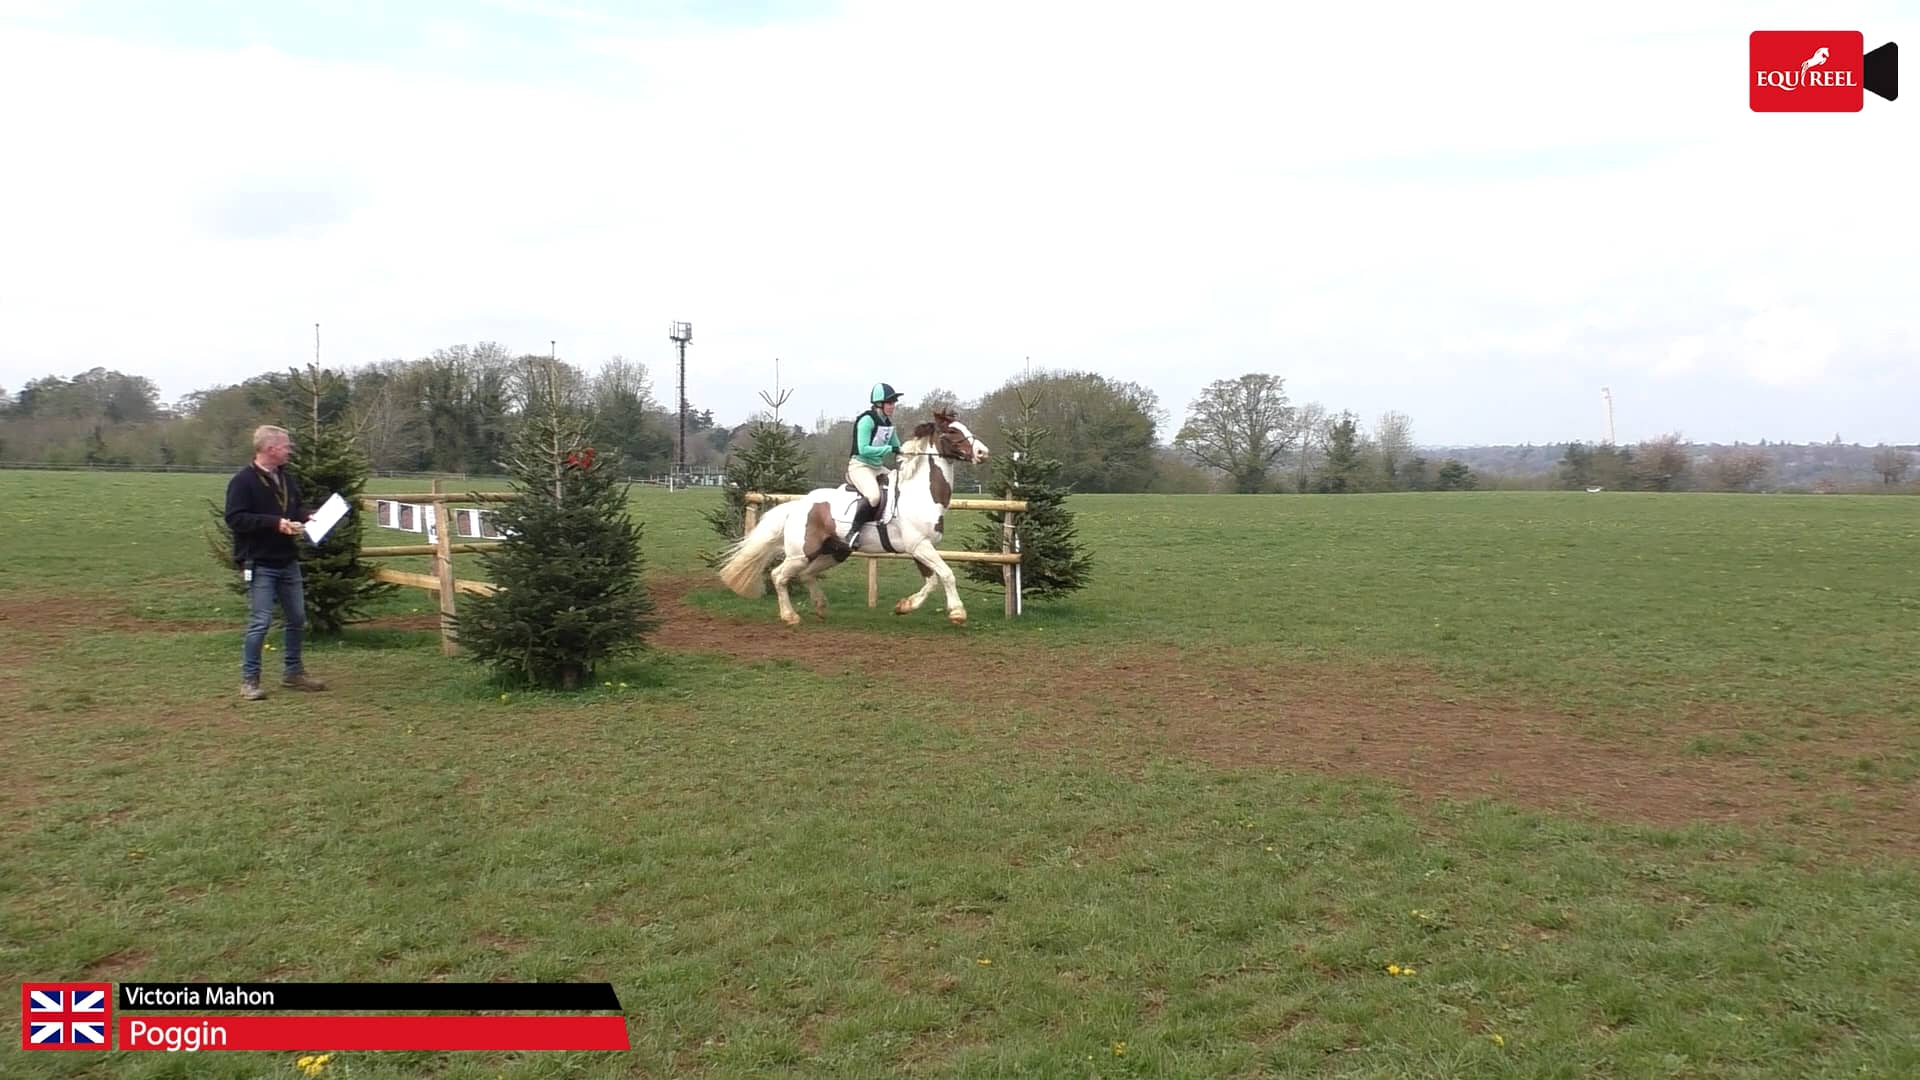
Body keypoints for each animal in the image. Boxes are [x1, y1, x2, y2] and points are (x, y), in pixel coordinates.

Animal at [716, 410, 989, 626]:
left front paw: (905, 606)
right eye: (952, 431)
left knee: (806, 575)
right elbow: (946, 574)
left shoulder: (921, 548)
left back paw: (820, 607)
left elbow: (932, 580)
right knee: (779, 575)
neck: (920, 493)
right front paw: (957, 613)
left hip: (834, 552)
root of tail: (796, 506)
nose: (983, 452)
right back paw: (790, 616)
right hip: (802, 553)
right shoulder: (920, 546)